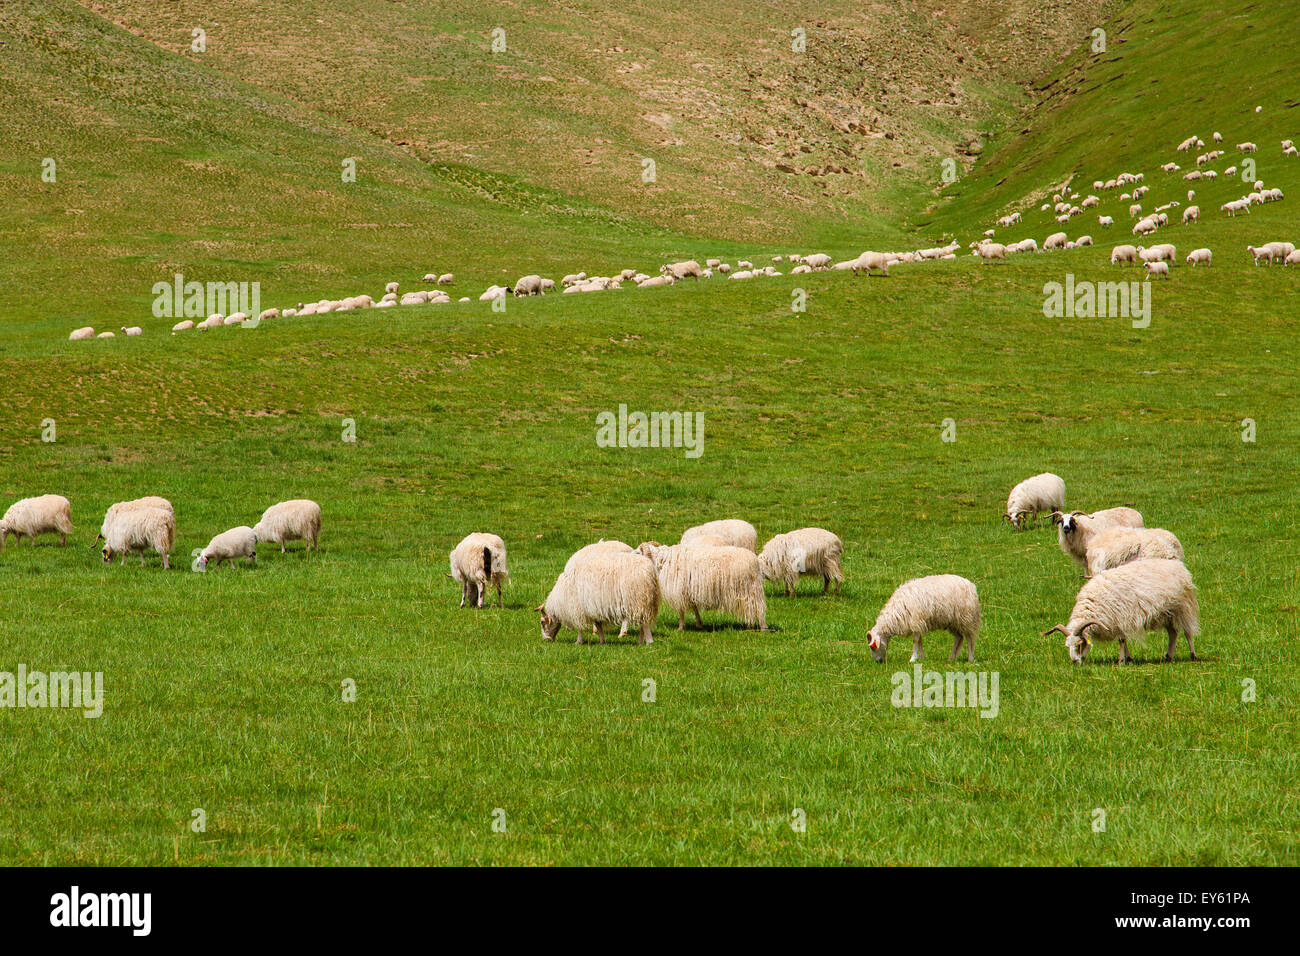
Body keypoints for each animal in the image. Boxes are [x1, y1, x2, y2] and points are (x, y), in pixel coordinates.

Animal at [637, 543, 767, 631]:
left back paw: (763, 627)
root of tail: (755, 561)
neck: (662, 559)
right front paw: (699, 623)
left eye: (638, 552)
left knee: (758, 607)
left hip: (749, 589)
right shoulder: (688, 590)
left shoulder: (679, 591)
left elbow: (681, 611)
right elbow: (694, 607)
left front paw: (680, 627)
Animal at [1043, 558, 1198, 664]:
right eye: (1067, 646)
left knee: (1187, 631)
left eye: (1080, 644)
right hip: (1166, 614)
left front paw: (1121, 661)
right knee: (1173, 632)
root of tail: (1178, 566)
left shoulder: (1121, 617)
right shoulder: (1116, 622)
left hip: (1182, 608)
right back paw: (1168, 656)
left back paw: (1193, 655)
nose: (1075, 662)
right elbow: (1123, 639)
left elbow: (1122, 640)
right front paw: (1128, 658)